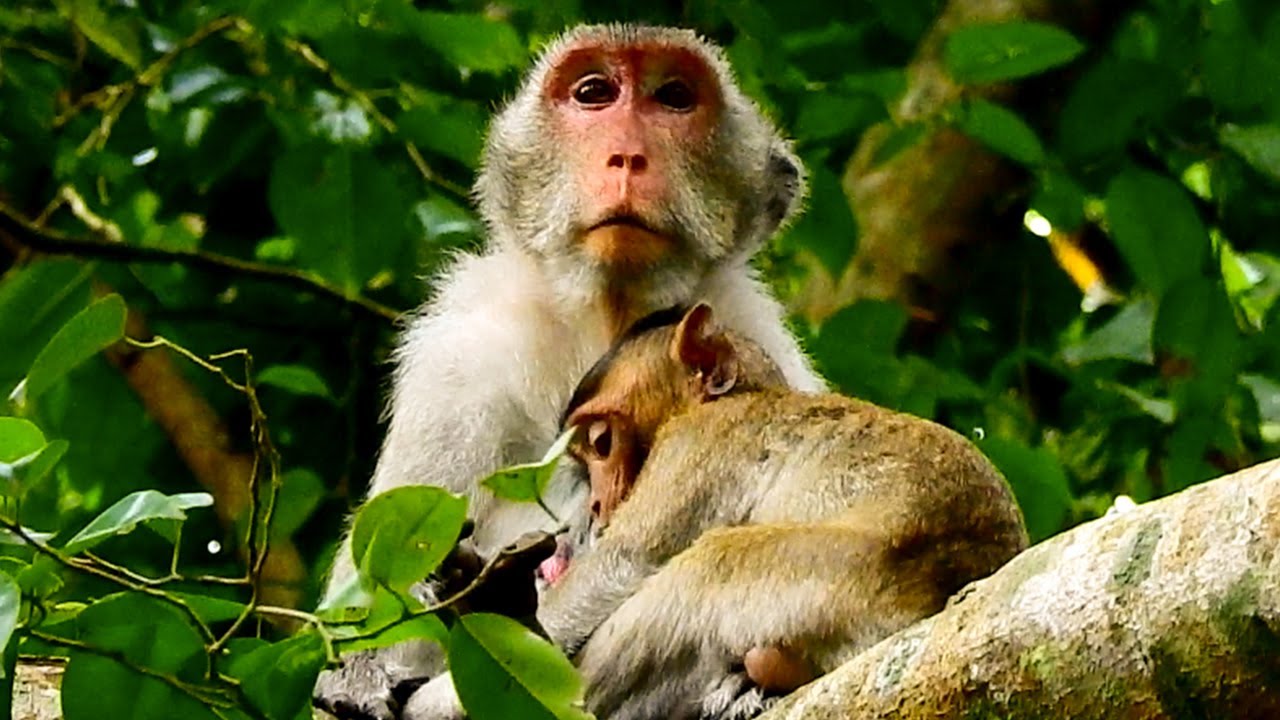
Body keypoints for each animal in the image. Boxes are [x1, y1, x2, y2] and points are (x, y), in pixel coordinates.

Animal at [312, 24, 826, 720]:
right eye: (593, 94)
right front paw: (362, 674)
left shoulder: (768, 351)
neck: (608, 318)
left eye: (674, 97)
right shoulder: (459, 367)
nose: (627, 157)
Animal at [534, 303, 1029, 720]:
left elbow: (626, 561)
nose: (597, 504)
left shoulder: (699, 441)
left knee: (707, 566)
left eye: (600, 443)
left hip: (836, 580)